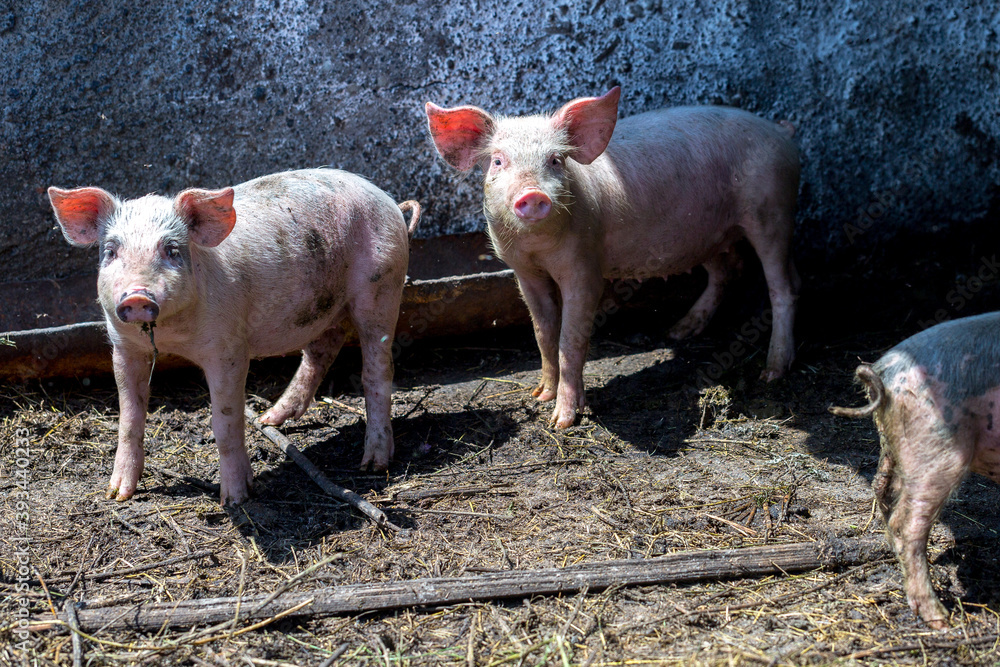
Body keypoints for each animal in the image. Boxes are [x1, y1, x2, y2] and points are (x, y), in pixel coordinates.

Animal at [48, 168, 420, 505]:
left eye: (172, 250)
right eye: (111, 251)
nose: (138, 296)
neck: (170, 337)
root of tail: (389, 203)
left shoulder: (229, 349)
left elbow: (225, 422)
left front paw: (236, 500)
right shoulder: (124, 347)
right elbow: (129, 417)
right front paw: (117, 495)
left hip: (381, 288)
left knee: (377, 371)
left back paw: (373, 464)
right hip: (325, 305)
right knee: (321, 351)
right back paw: (269, 418)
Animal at [425, 87, 800, 428]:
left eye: (555, 160)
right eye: (498, 161)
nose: (533, 194)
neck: (538, 248)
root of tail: (780, 132)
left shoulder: (585, 267)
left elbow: (571, 338)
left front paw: (561, 422)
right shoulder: (523, 271)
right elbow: (544, 331)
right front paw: (541, 395)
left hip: (773, 210)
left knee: (783, 287)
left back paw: (772, 372)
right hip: (708, 233)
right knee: (727, 271)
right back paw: (679, 332)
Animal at [830, 312, 1000, 628]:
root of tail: (885, 370)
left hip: (896, 445)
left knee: (883, 491)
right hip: (938, 448)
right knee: (907, 525)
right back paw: (940, 619)